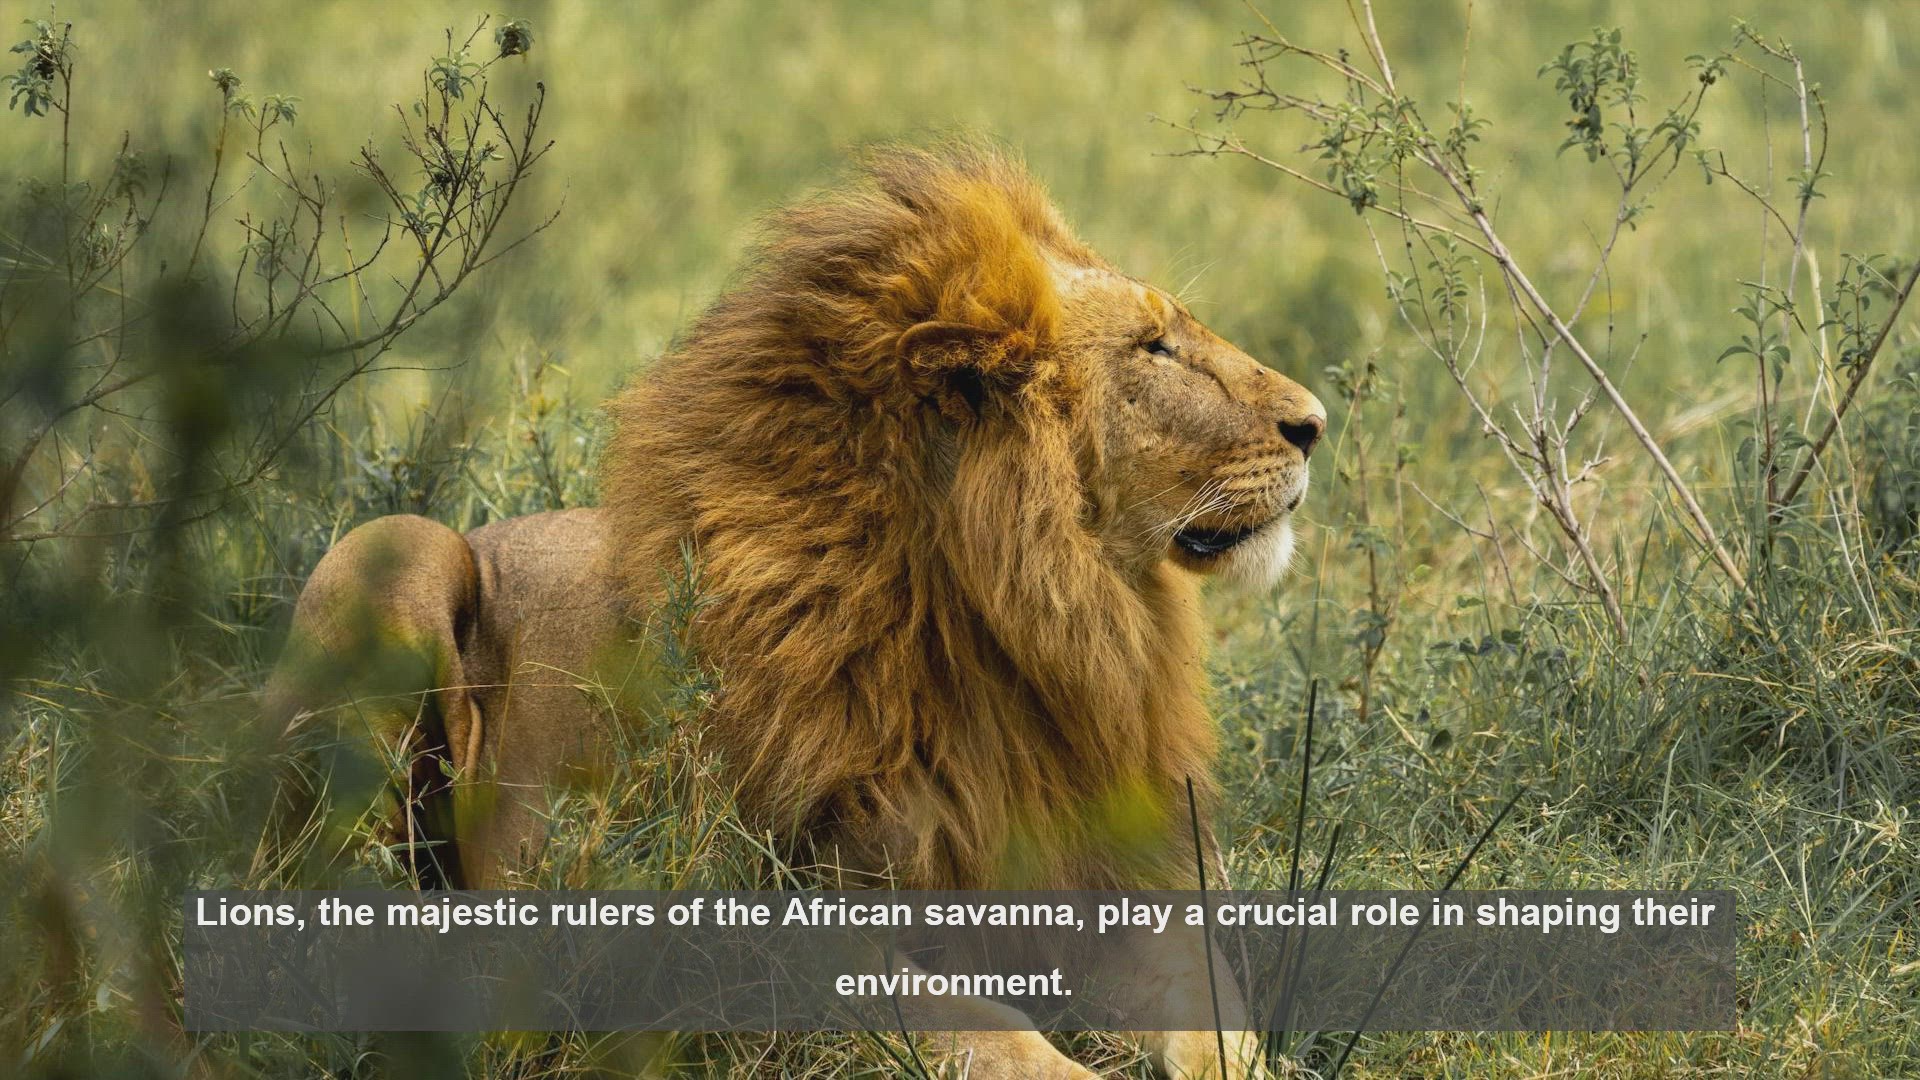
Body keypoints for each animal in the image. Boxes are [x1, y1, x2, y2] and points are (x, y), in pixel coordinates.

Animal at [267, 144, 1325, 1079]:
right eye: (1156, 348)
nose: (1316, 424)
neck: (1025, 627)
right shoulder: (755, 915)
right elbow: (976, 1028)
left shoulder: (1119, 874)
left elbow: (1214, 1018)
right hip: (393, 550)